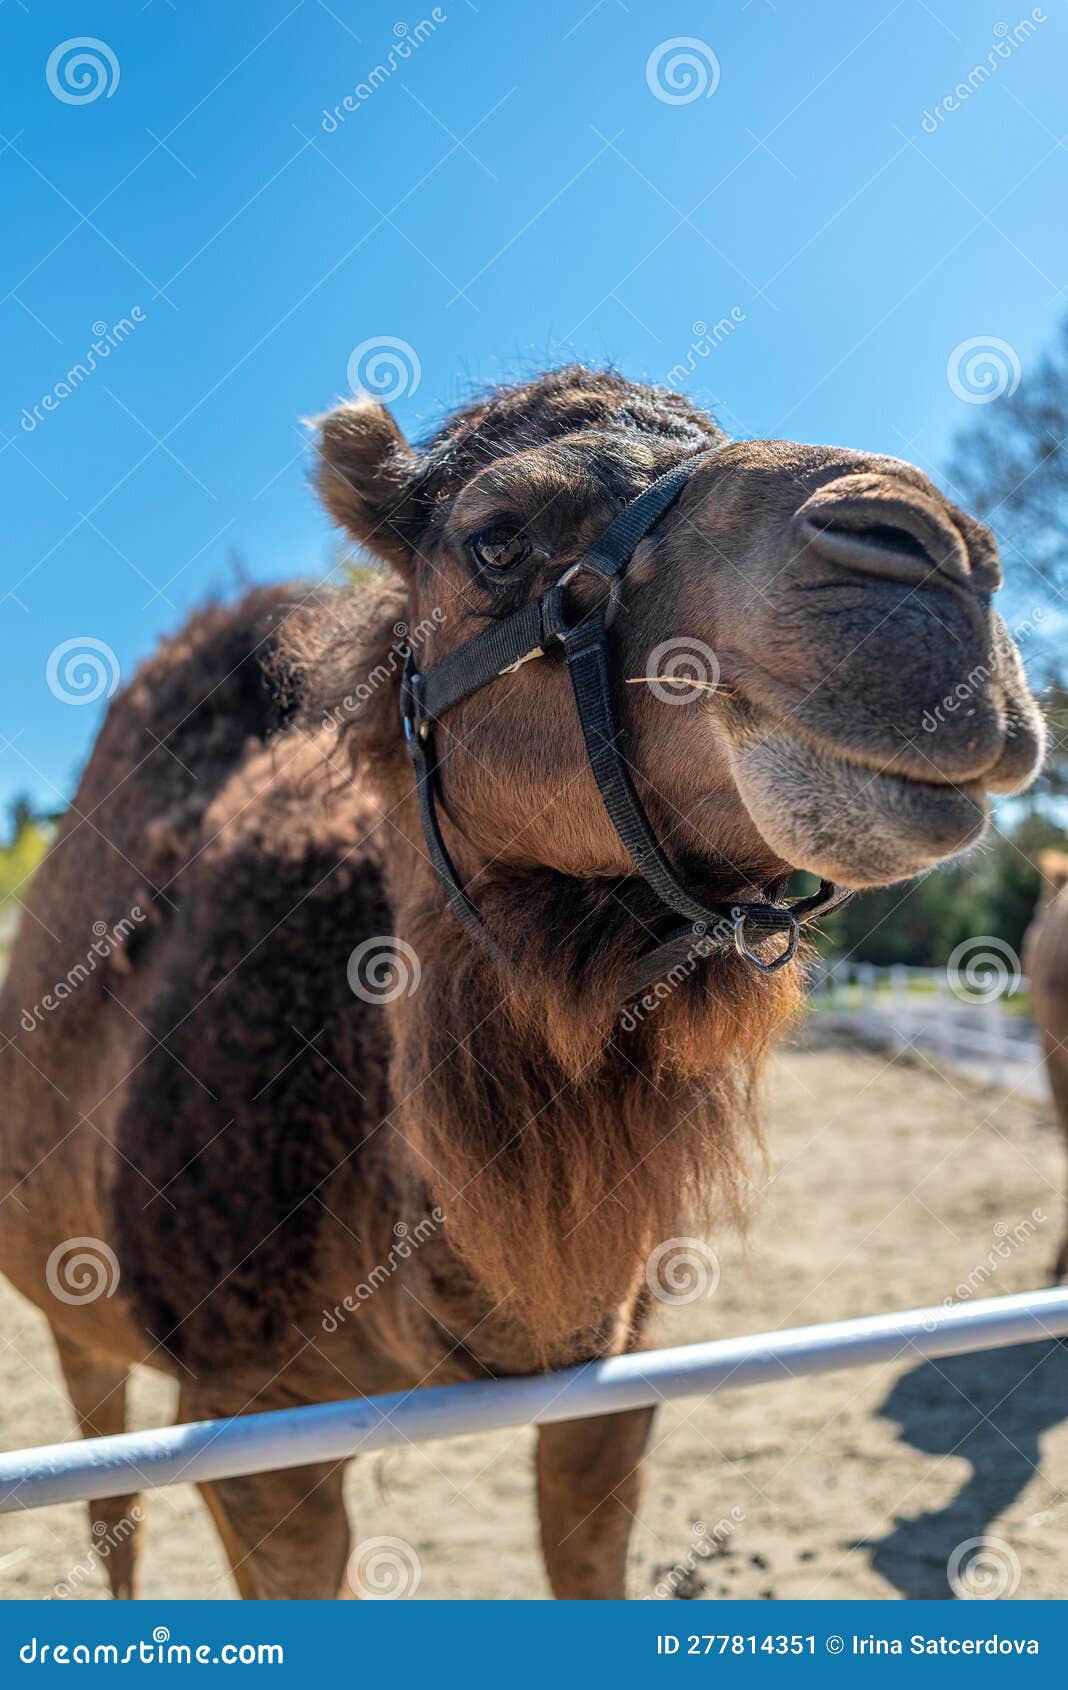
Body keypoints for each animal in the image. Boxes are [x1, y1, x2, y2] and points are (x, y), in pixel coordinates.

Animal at [0, 366, 1045, 1599]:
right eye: (495, 539)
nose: (938, 555)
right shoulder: (245, 1417)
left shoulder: (612, 1380)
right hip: (77, 1304)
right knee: (106, 1482)